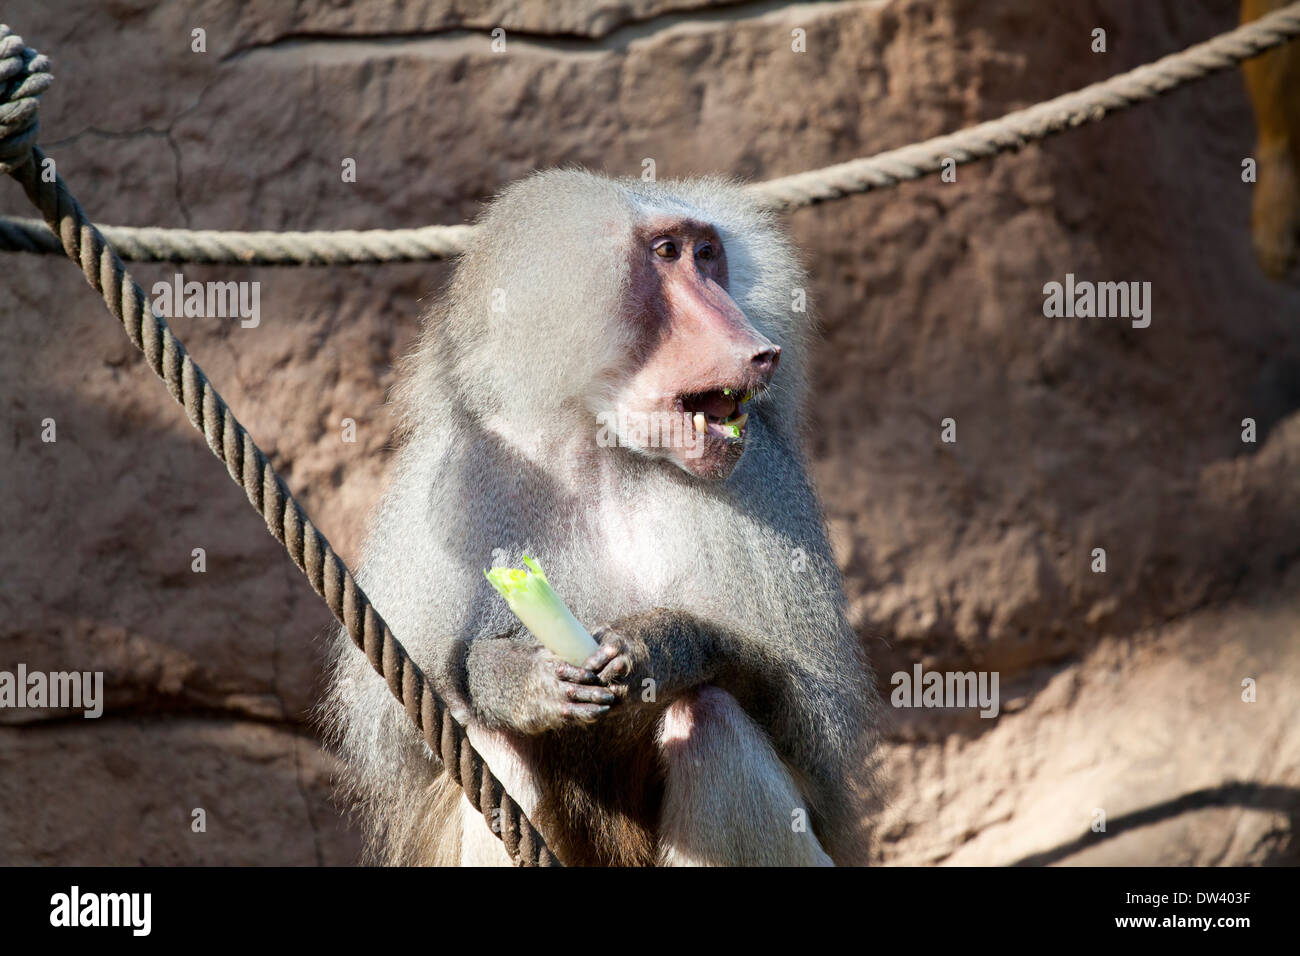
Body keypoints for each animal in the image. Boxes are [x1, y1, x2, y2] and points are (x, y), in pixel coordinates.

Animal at [322, 169, 879, 866]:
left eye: (708, 255)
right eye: (667, 253)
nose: (762, 352)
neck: (599, 443)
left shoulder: (762, 474)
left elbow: (814, 727)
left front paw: (661, 645)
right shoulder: (448, 473)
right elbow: (398, 737)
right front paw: (513, 678)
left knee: (713, 720)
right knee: (495, 744)